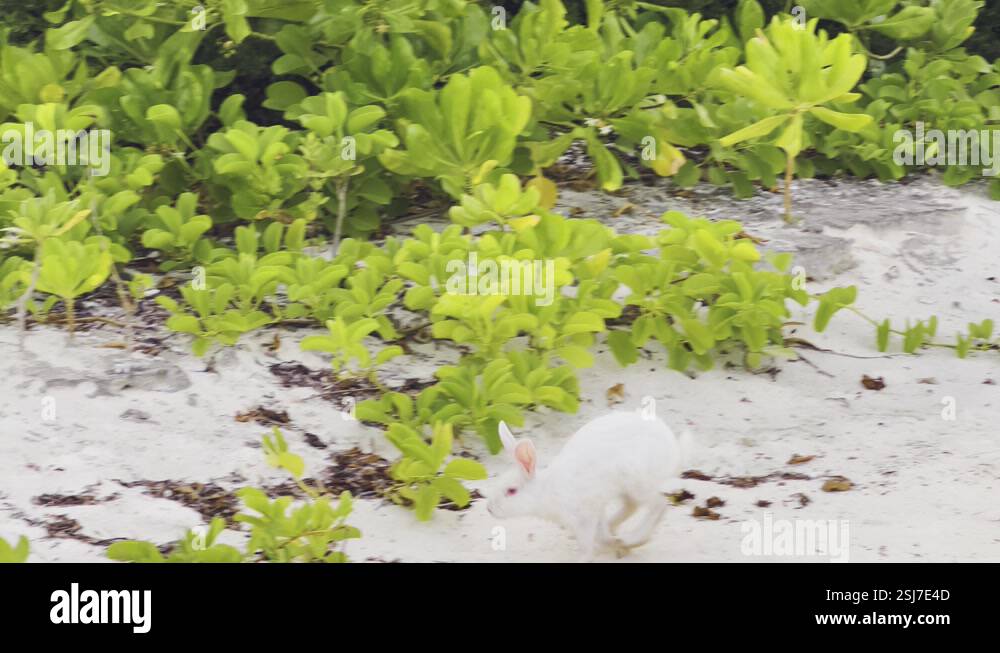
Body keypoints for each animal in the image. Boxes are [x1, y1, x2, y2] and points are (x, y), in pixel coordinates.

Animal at [486, 411, 692, 561]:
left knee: (659, 505)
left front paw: (596, 554)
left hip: (638, 481)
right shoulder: (595, 511)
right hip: (628, 489)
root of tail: (675, 451)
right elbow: (601, 536)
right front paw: (616, 546)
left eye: (511, 491)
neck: (548, 491)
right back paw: (619, 533)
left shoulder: (585, 515)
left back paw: (633, 539)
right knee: (632, 506)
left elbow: (588, 545)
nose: (489, 509)